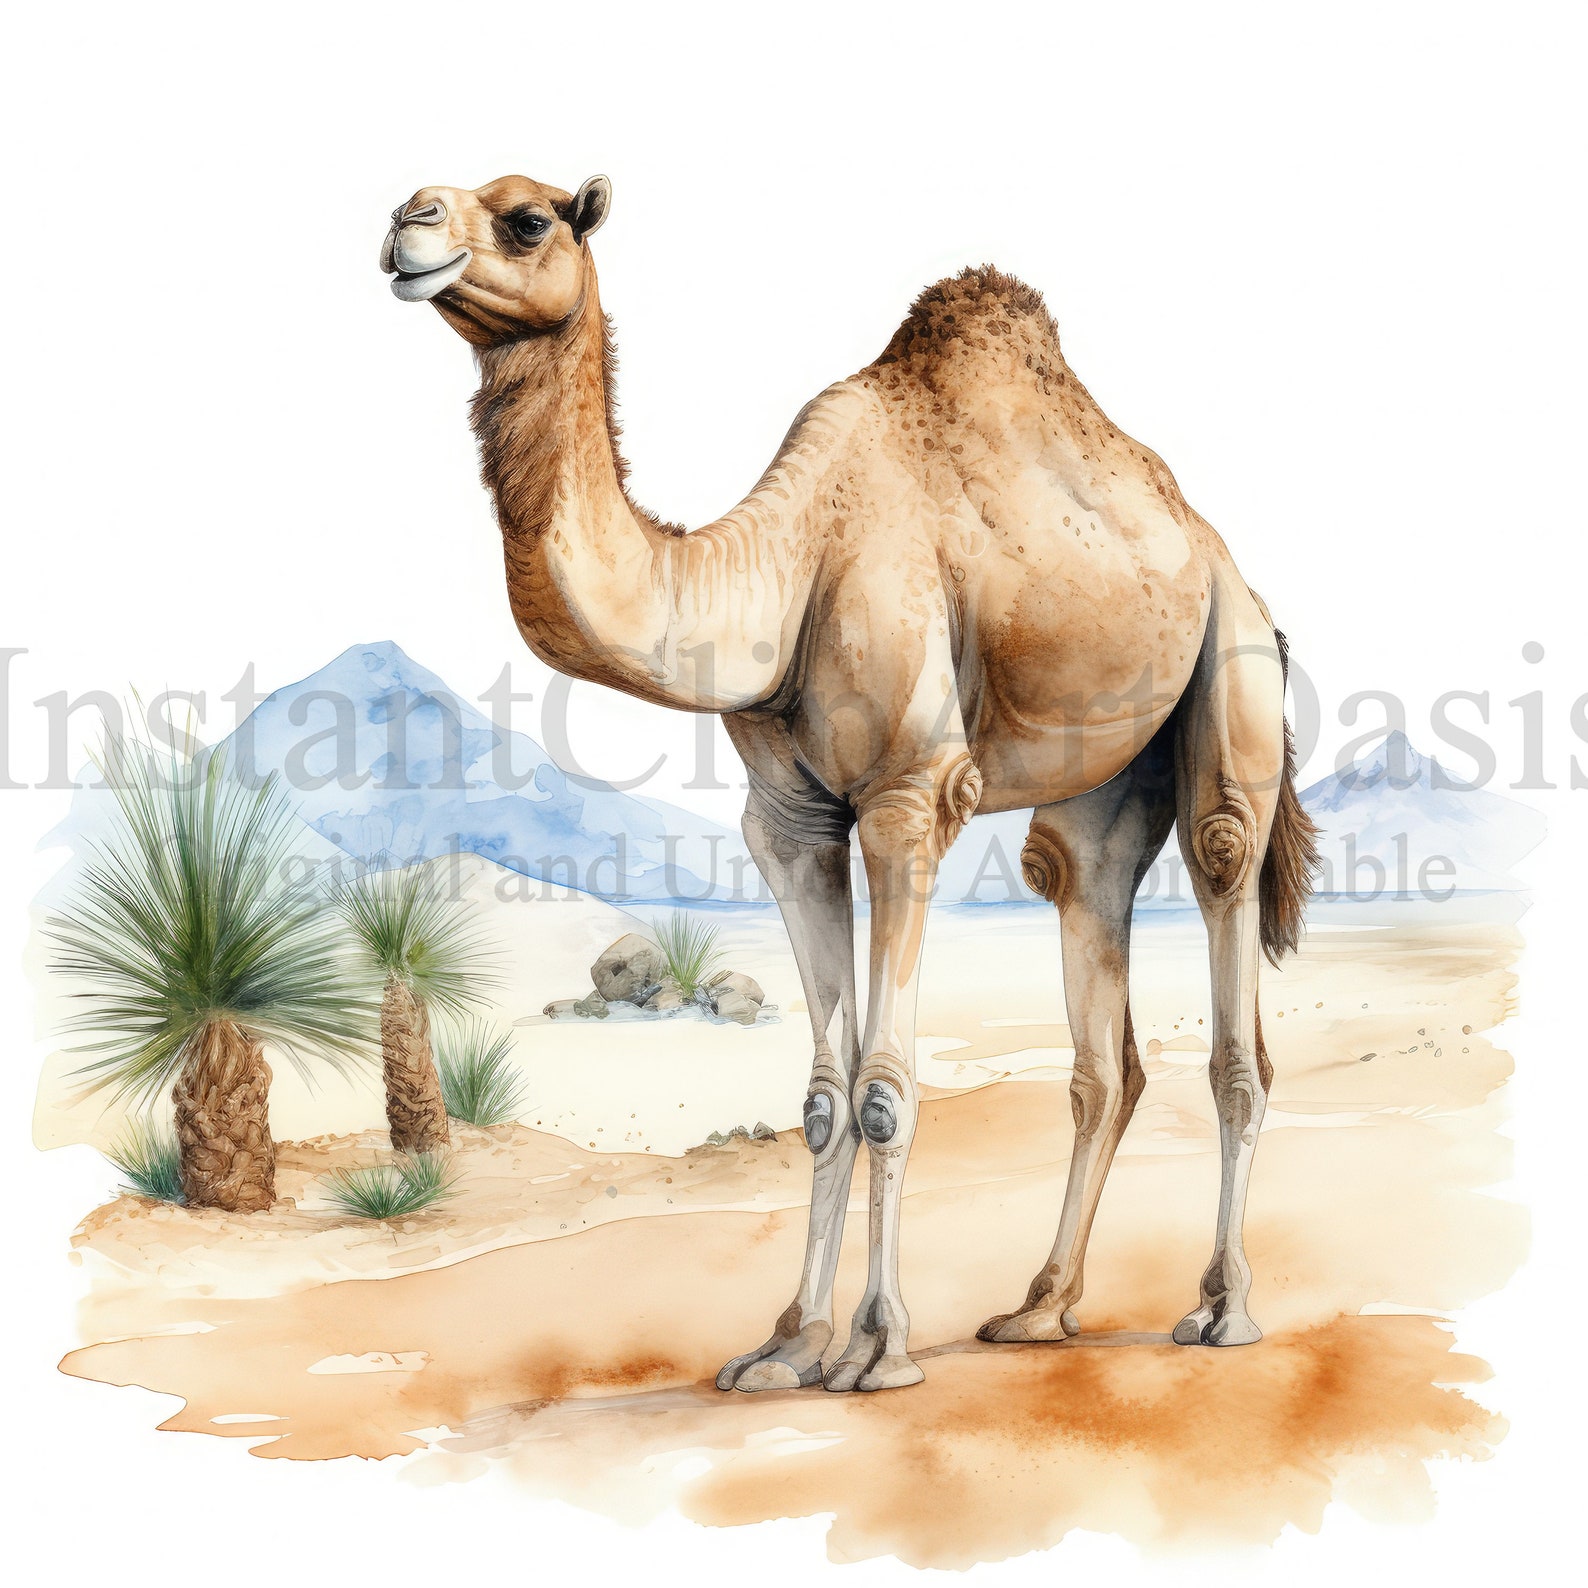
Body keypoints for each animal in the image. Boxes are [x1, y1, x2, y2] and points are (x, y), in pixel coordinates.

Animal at [381, 173, 1319, 1392]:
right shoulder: (792, 823)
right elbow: (825, 1096)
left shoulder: (909, 796)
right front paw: (784, 1346)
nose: (408, 224)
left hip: (1230, 676)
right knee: (1091, 975)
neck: (783, 570)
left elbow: (883, 1088)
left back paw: (1221, 1309)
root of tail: (1232, 570)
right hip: (1102, 780)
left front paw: (876, 1347)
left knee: (1227, 926)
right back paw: (1038, 1309)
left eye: (530, 218)